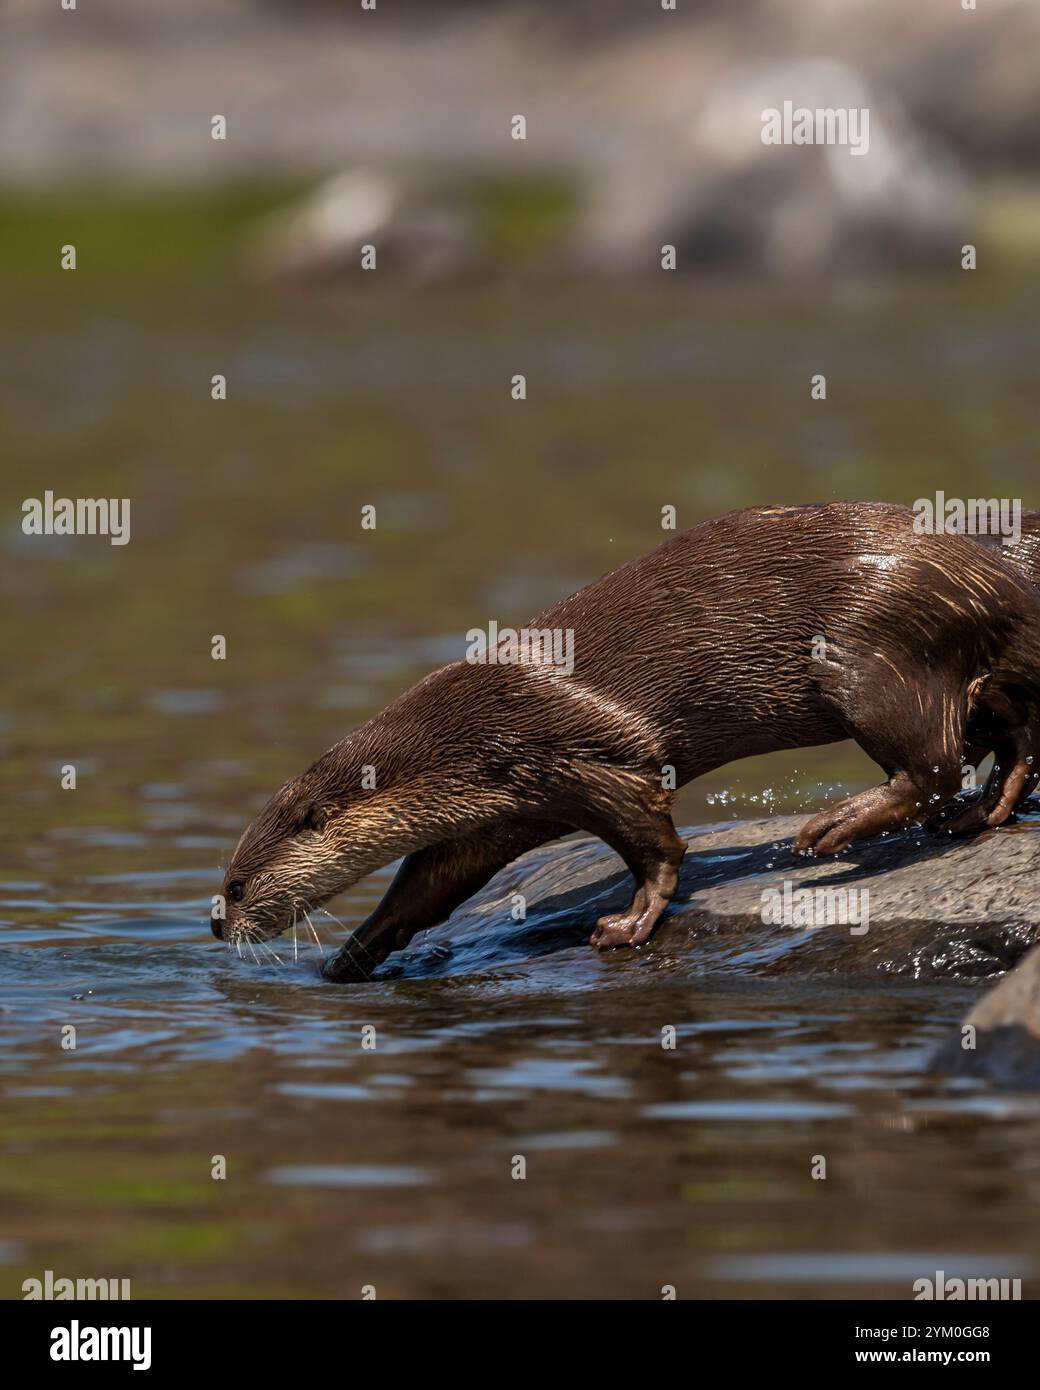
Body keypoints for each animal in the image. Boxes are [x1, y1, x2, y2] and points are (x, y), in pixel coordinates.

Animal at [212, 501, 1040, 982]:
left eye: (238, 884)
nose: (216, 922)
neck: (459, 741)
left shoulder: (581, 754)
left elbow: (655, 844)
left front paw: (631, 921)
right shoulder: (502, 813)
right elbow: (427, 884)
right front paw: (356, 950)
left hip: (871, 650)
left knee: (934, 762)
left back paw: (832, 829)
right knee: (1012, 737)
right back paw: (985, 813)